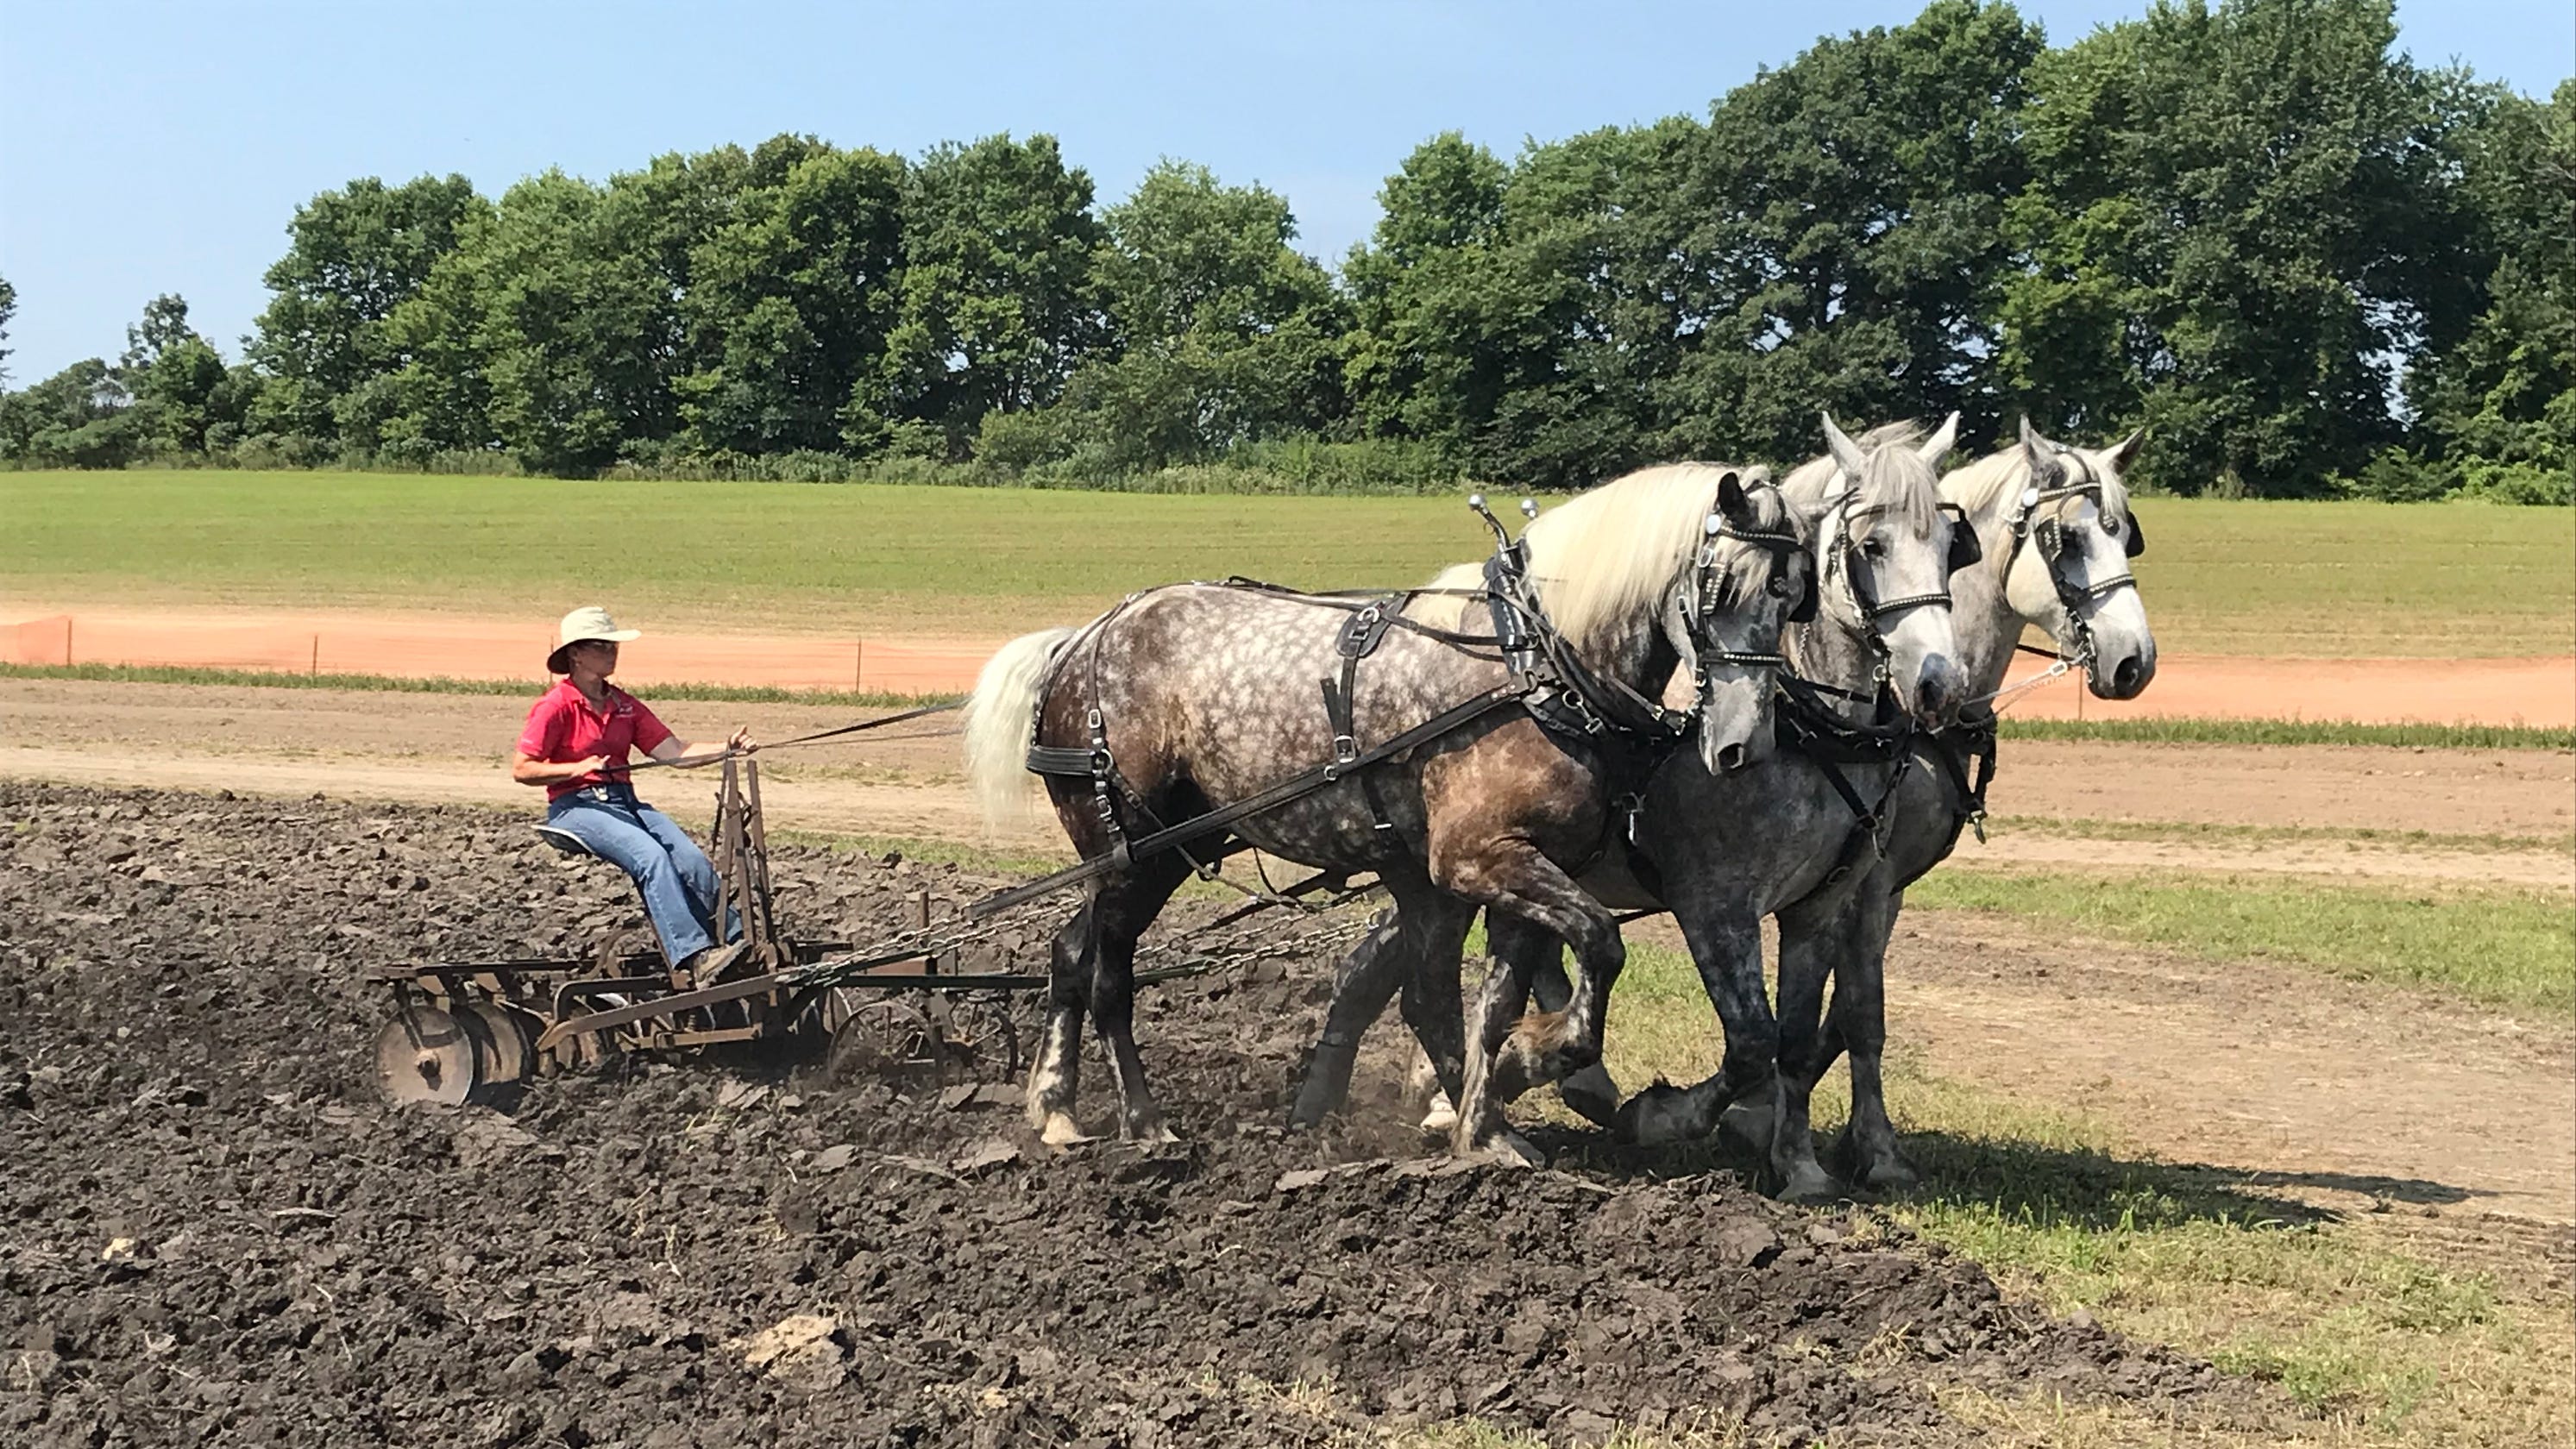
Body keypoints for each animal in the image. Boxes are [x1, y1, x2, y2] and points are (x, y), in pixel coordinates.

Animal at [963, 459, 1831, 1156]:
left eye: (1795, 598)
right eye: (1722, 587)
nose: (1744, 743)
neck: (1535, 665)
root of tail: (1081, 641)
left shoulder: (1509, 872)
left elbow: (1480, 1002)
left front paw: (1489, 1120)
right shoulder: (1474, 861)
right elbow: (1597, 944)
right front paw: (1536, 1063)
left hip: (1161, 857)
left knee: (1069, 952)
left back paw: (1057, 1111)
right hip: (1128, 851)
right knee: (1108, 976)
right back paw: (1144, 1123)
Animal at [1289, 415, 1976, 1177]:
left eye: (1953, 546)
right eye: (1870, 546)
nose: (1939, 682)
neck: (1817, 724)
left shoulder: (1837, 899)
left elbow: (1822, 1028)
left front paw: (1809, 1162)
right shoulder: (1715, 902)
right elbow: (1754, 1038)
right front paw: (1669, 1115)